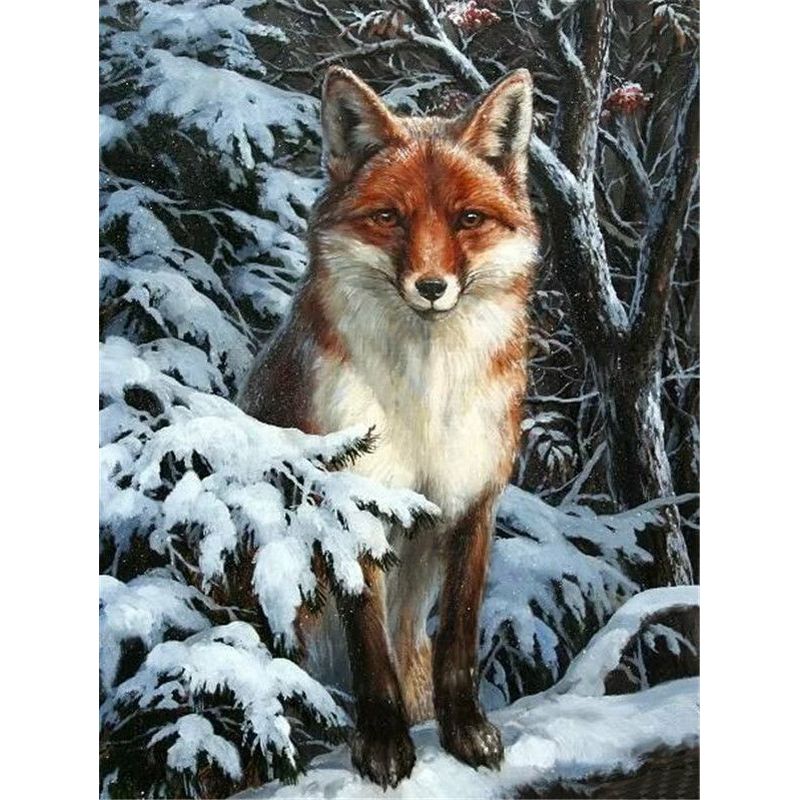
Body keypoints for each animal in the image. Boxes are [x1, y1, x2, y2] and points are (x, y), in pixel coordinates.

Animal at [238, 66, 539, 788]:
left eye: (468, 219)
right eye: (389, 218)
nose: (431, 287)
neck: (424, 398)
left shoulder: (473, 502)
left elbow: (457, 639)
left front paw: (465, 733)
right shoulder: (350, 505)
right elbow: (368, 648)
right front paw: (382, 744)